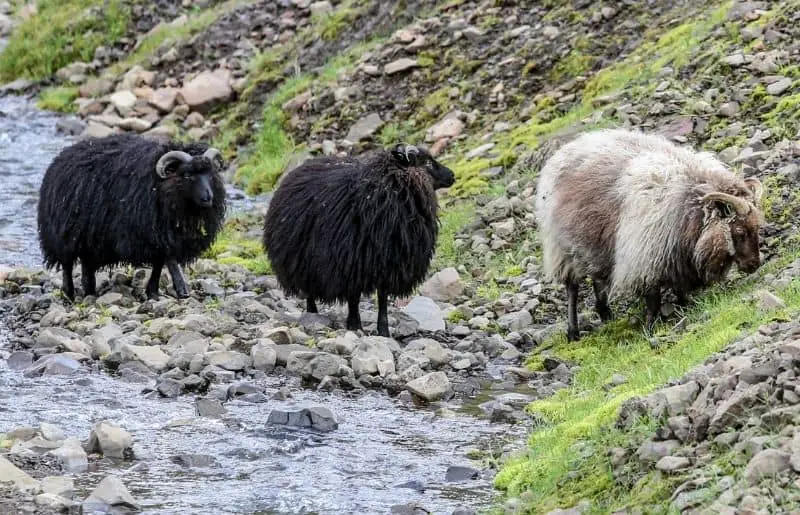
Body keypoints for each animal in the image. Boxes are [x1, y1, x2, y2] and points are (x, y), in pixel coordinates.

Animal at [37, 133, 226, 301]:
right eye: (187, 175)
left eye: (211, 174)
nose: (208, 198)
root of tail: (60, 158)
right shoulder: (154, 233)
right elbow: (169, 259)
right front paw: (181, 290)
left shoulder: (162, 235)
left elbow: (159, 263)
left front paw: (153, 292)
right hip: (63, 235)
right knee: (67, 264)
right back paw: (69, 293)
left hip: (89, 238)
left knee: (86, 267)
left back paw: (90, 291)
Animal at [262, 143, 455, 337]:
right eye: (427, 163)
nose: (452, 175)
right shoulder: (351, 261)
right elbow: (354, 297)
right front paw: (355, 325)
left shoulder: (387, 264)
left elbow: (382, 299)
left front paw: (383, 331)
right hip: (303, 261)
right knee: (309, 291)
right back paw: (312, 314)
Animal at [534, 128, 765, 341]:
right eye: (739, 230)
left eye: (756, 228)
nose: (754, 264)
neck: (689, 208)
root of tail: (563, 150)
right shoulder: (646, 258)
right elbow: (653, 300)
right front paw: (649, 328)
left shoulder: (676, 255)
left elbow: (680, 287)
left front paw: (687, 305)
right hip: (563, 249)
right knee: (572, 288)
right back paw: (573, 331)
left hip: (596, 244)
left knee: (598, 279)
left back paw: (605, 314)